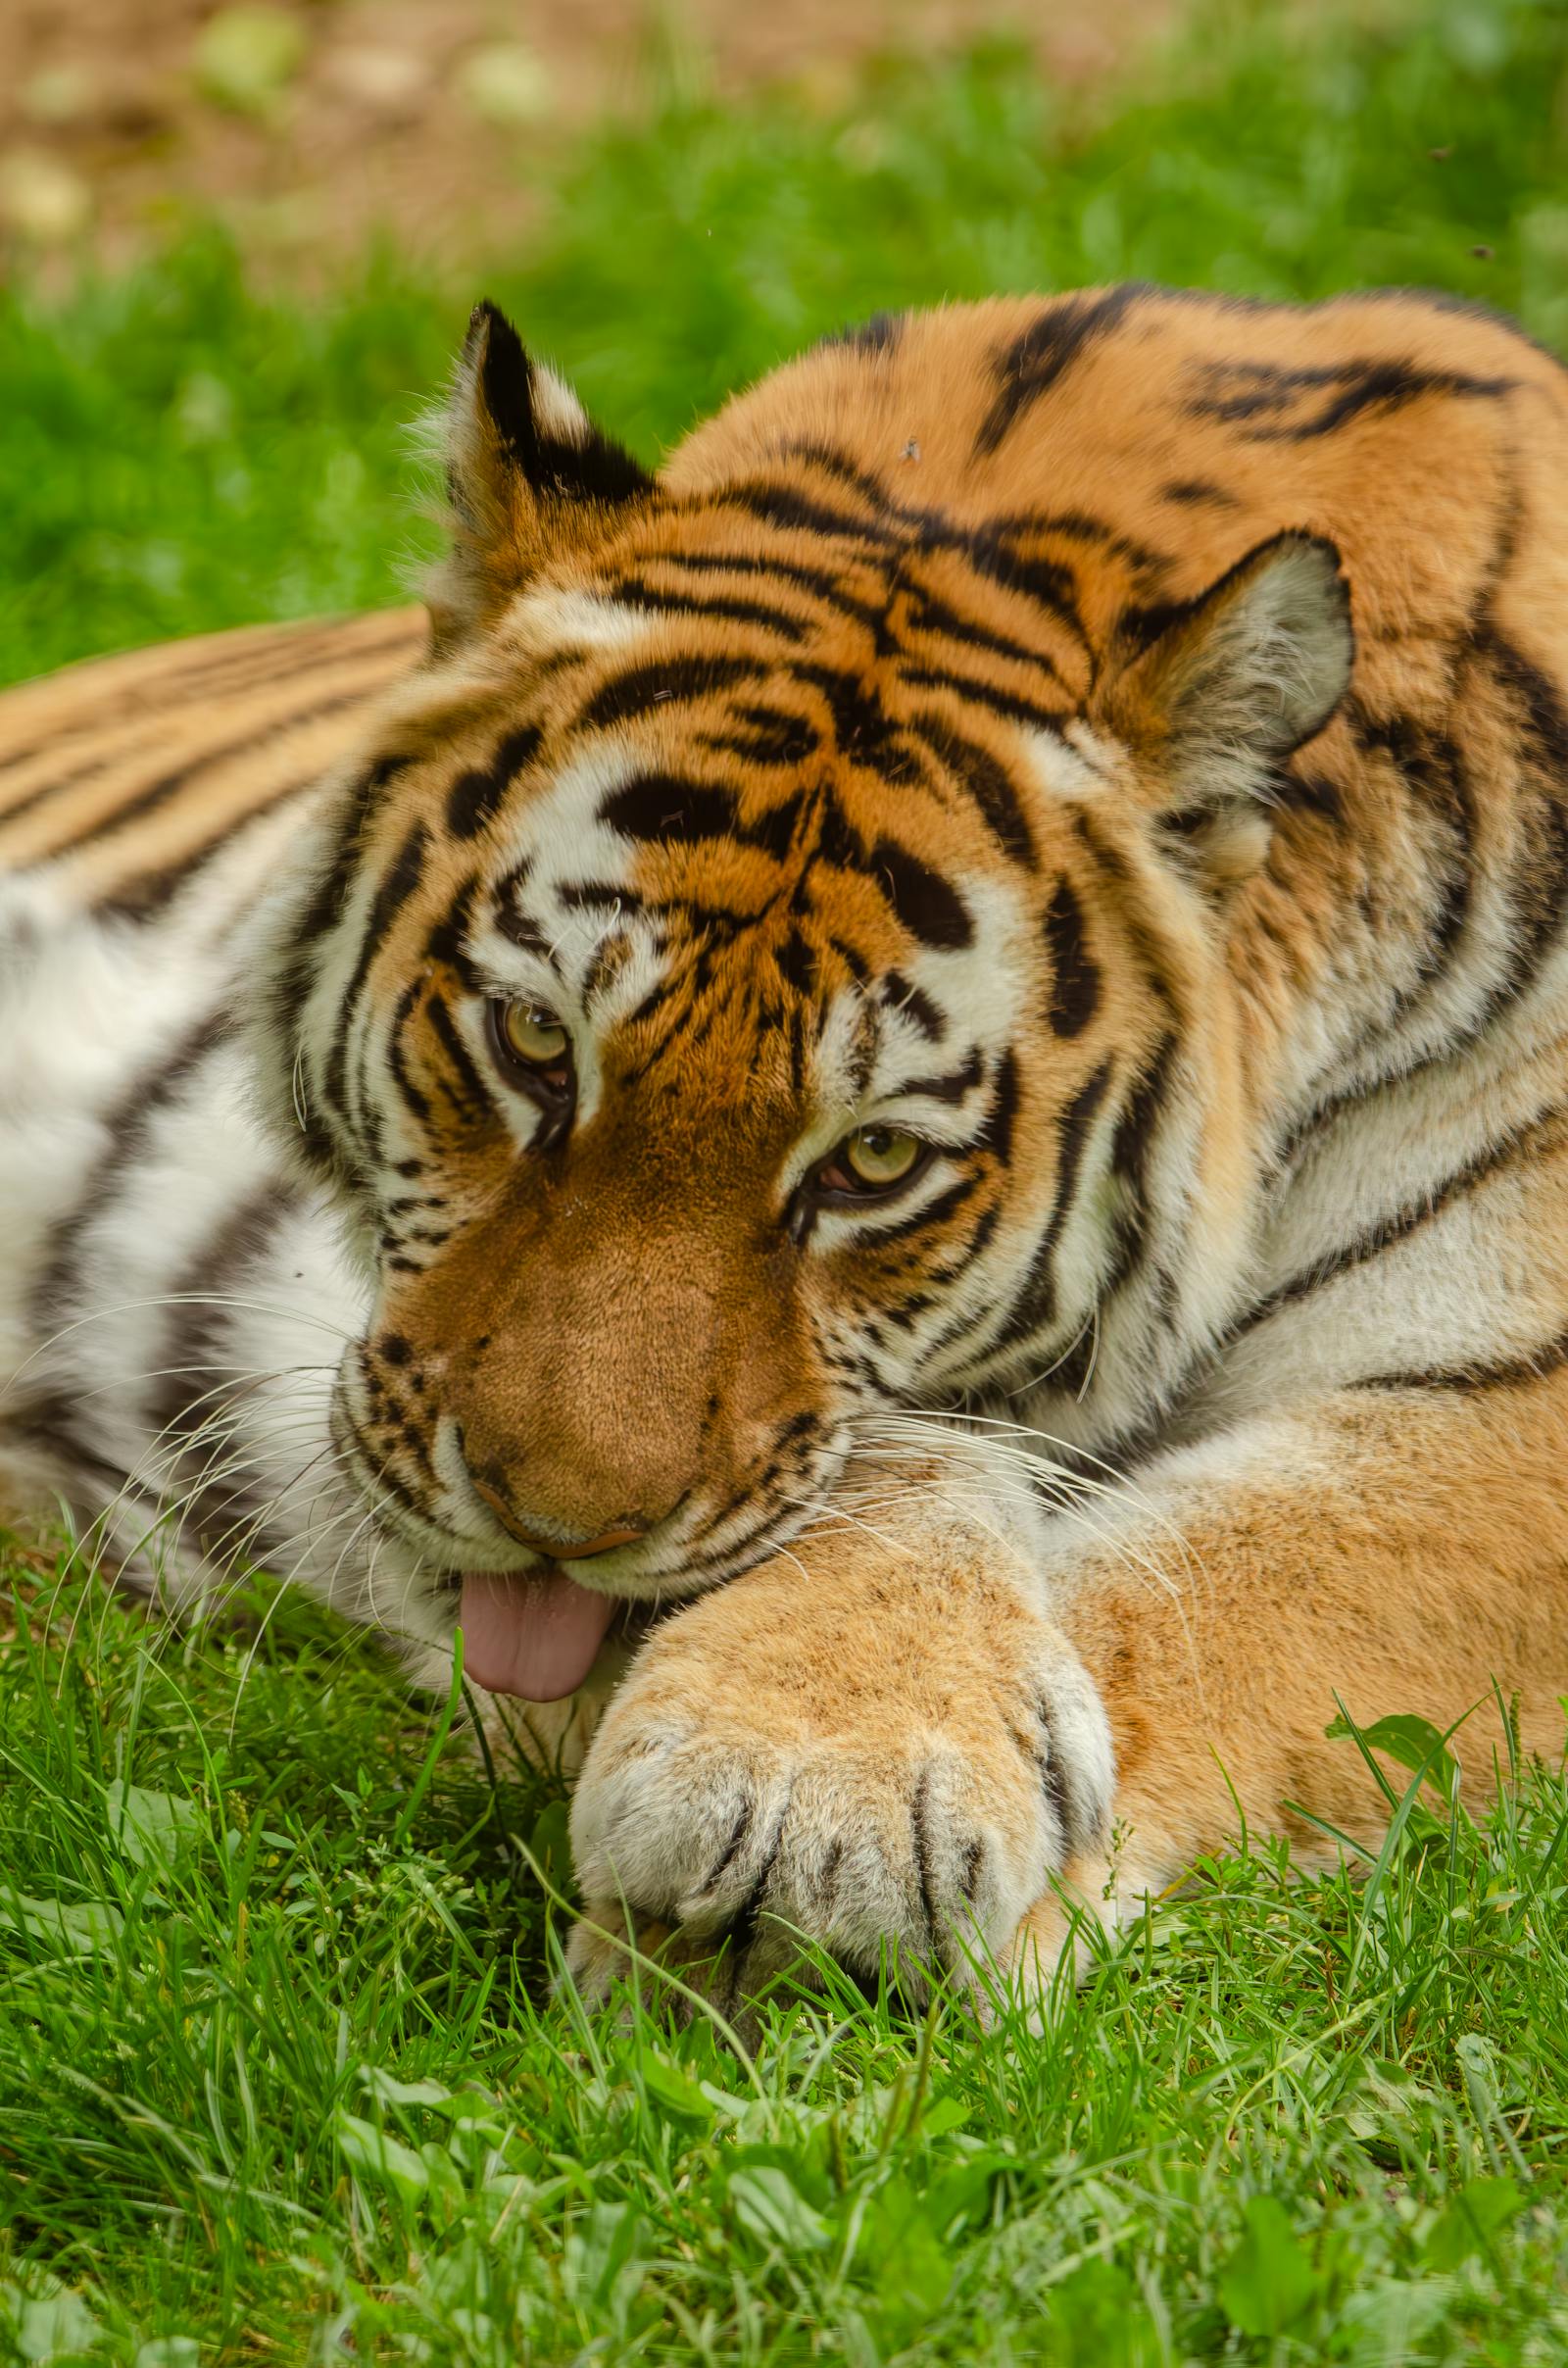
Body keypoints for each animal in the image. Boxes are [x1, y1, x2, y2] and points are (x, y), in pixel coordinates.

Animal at [4, 281, 1568, 2013]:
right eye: (534, 1042)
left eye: (875, 1164)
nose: (556, 1535)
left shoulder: (1521, 1414)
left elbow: (1197, 1567)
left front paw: (816, 1798)